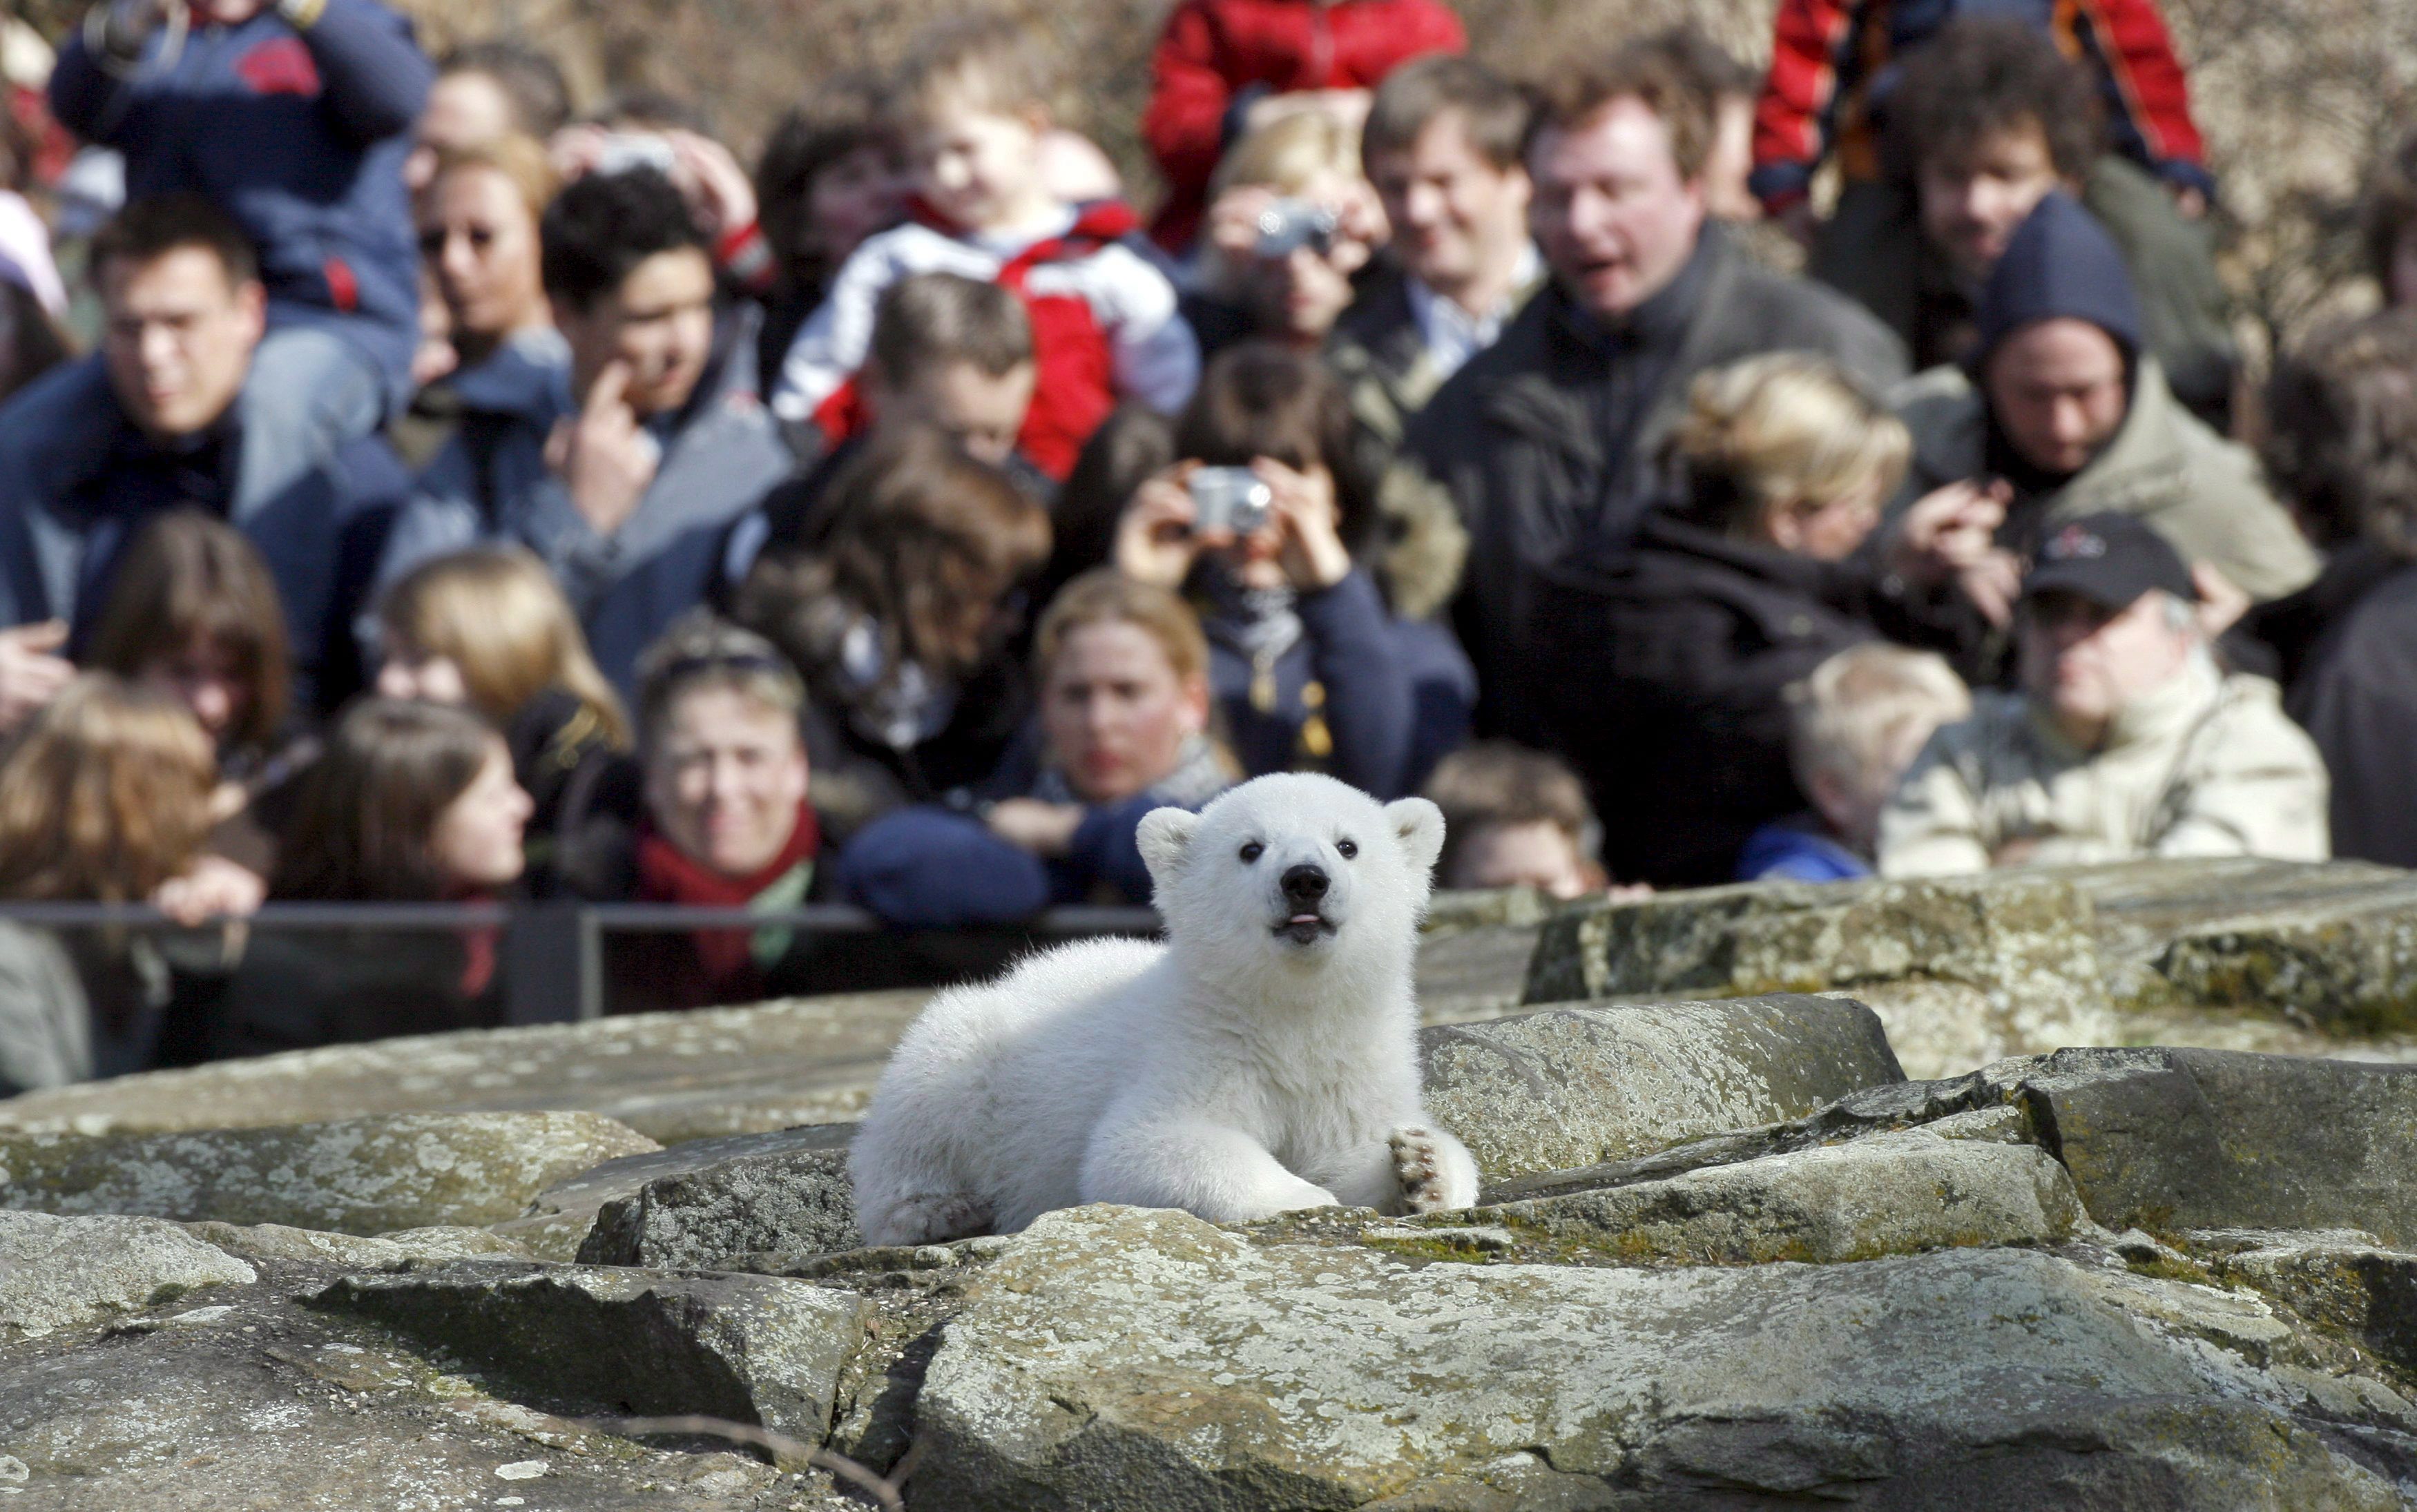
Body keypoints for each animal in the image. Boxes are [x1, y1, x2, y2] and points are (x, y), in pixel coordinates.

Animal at [849, 772, 1481, 1246]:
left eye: (1347, 845)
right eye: (1250, 848)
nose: (1305, 879)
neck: (1289, 1014)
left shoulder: (1350, 1068)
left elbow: (1350, 1152)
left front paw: (1422, 1168)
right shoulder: (1198, 1048)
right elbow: (1144, 1146)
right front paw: (1301, 1194)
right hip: (974, 1052)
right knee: (928, 1096)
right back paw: (939, 1212)